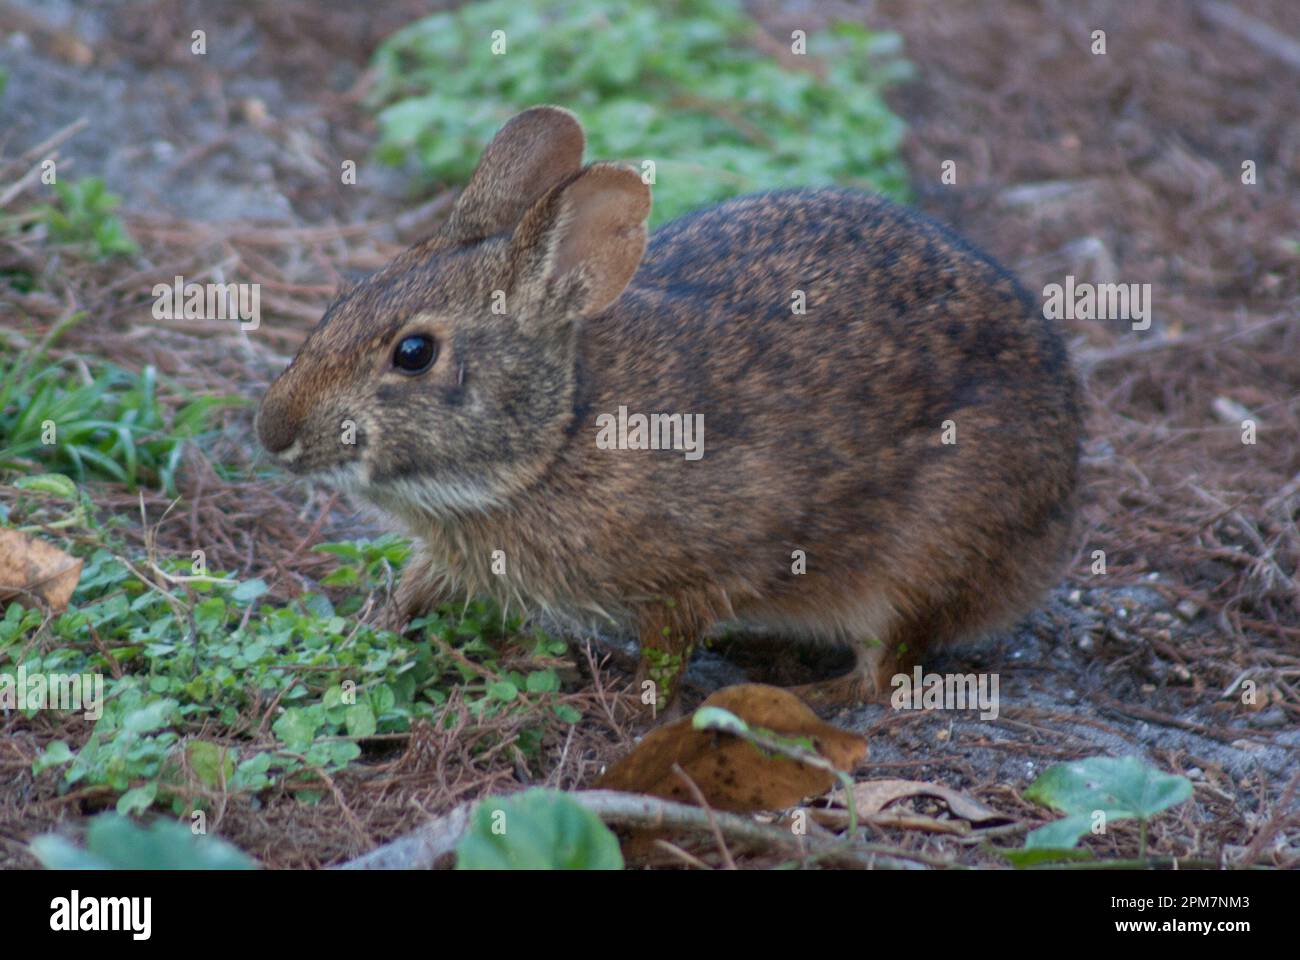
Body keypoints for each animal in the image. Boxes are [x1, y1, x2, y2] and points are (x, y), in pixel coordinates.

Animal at [257, 105, 1082, 712]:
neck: (557, 434)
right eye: (347, 297)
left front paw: (628, 706)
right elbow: (419, 586)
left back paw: (809, 696)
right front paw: (368, 628)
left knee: (889, 668)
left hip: (931, 550)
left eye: (414, 353)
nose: (273, 433)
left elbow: (668, 651)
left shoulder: (700, 570)